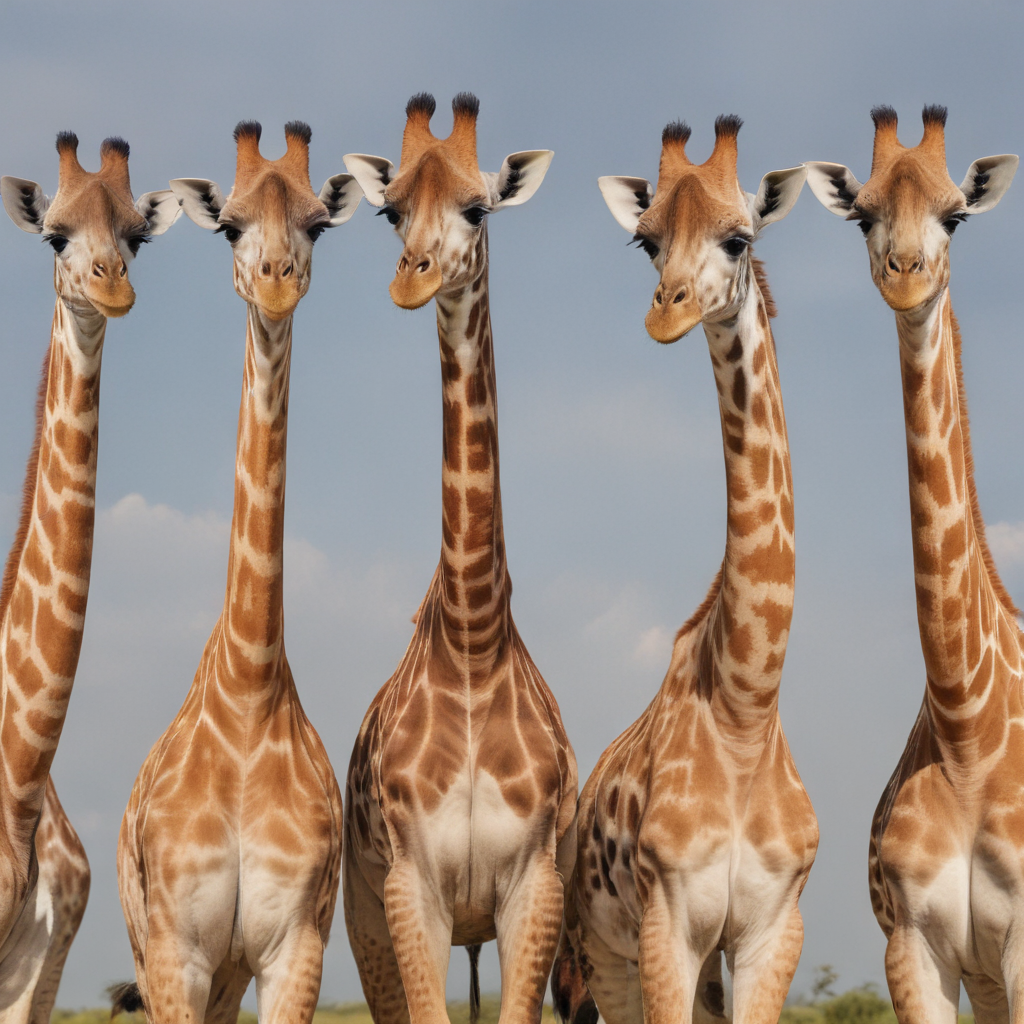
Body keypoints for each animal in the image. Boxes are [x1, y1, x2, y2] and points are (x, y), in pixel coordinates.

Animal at [114, 121, 361, 1024]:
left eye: (318, 225)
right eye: (227, 227)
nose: (276, 283)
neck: (250, 695)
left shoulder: (295, 944)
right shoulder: (176, 952)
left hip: (228, 974)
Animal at [342, 93, 578, 1024]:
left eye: (477, 209)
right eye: (390, 210)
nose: (412, 277)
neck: (473, 639)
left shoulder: (535, 887)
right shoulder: (409, 889)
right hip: (360, 916)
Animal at [551, 116, 817, 1024]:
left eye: (739, 238)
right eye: (647, 240)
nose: (664, 314)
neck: (745, 708)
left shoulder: (772, 929)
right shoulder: (667, 925)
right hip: (603, 953)